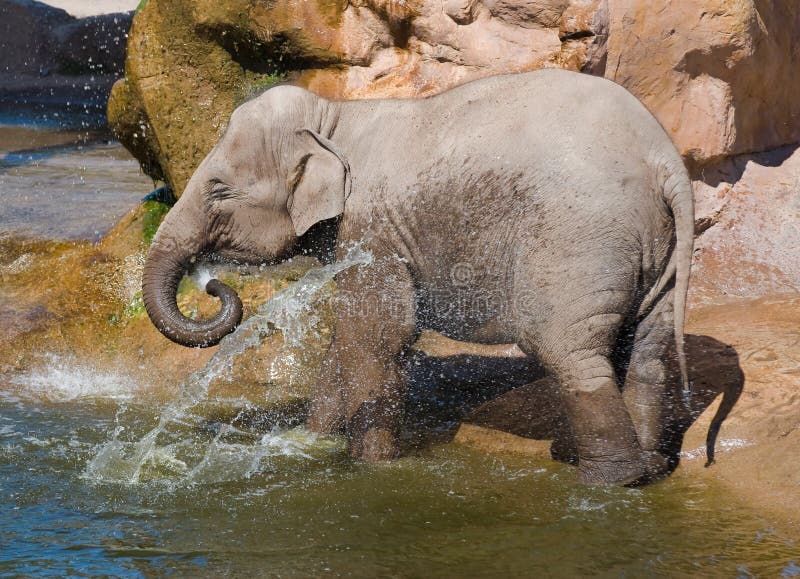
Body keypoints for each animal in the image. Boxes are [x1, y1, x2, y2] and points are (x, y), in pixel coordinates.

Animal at [142, 69, 694, 486]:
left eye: (219, 190)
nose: (211, 283)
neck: (336, 117)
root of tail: (664, 160)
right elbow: (350, 338)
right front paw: (308, 442)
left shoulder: (372, 228)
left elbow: (380, 333)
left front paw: (372, 465)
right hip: (653, 249)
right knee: (646, 351)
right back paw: (647, 469)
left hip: (578, 241)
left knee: (569, 352)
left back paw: (607, 483)